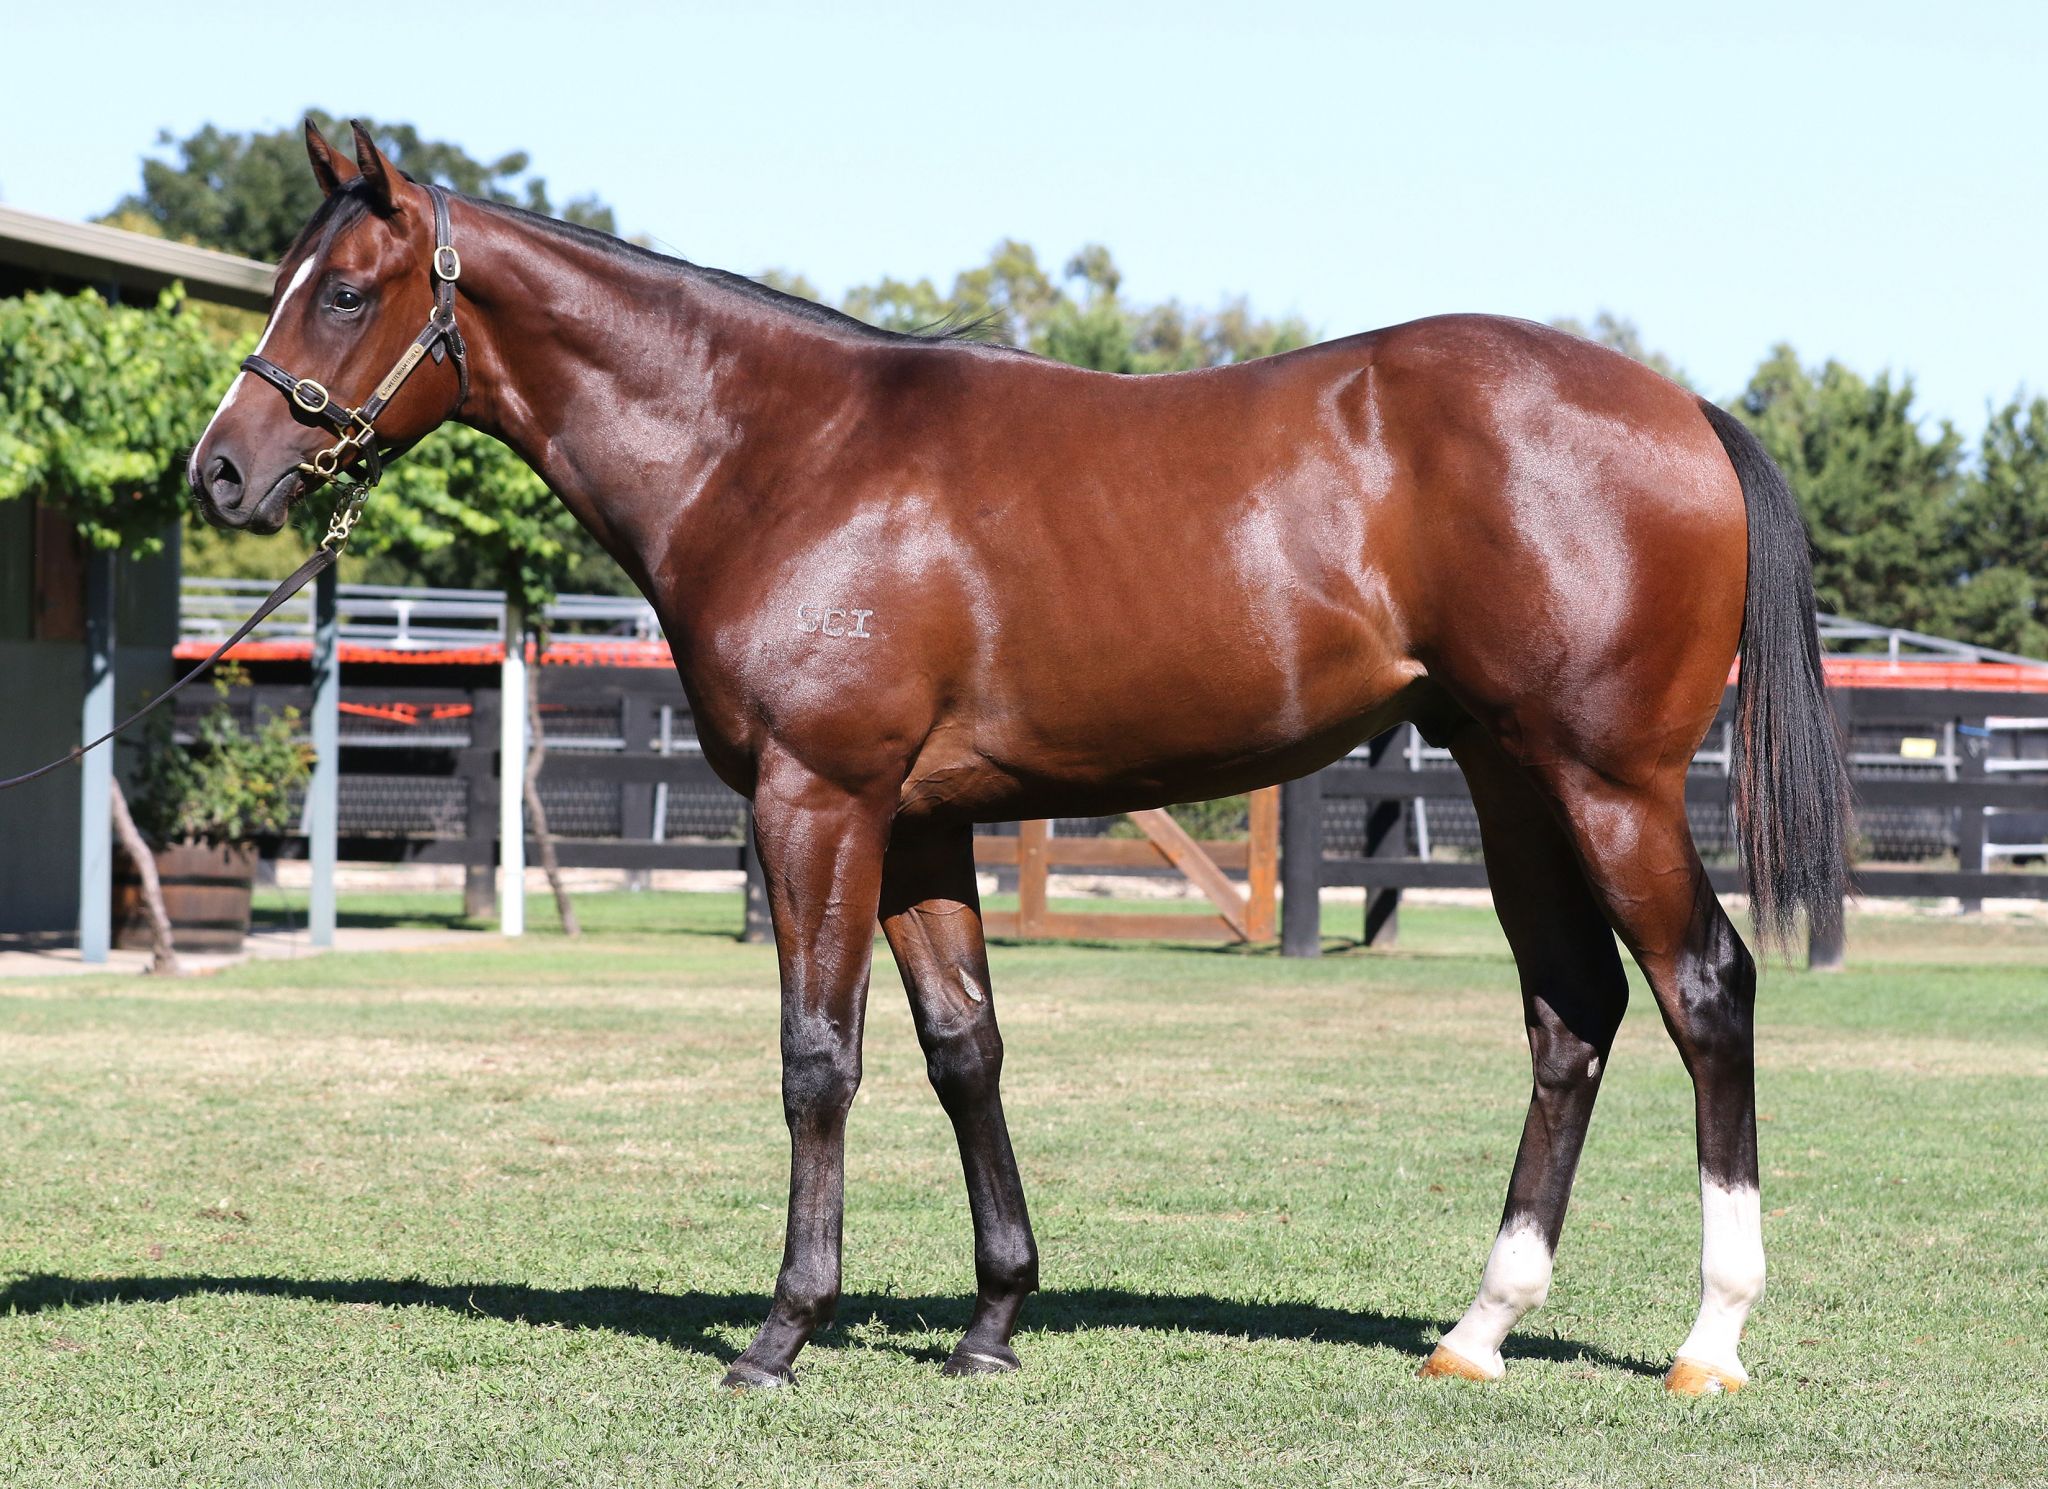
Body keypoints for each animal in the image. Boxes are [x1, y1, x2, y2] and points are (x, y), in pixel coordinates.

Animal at [187, 121, 1850, 1395]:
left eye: (344, 293)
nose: (219, 472)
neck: (778, 453)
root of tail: (1682, 407)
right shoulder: (920, 826)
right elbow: (962, 1049)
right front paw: (992, 1318)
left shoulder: (820, 803)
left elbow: (818, 1058)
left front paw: (783, 1333)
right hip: (1511, 781)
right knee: (1572, 1012)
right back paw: (1479, 1329)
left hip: (1607, 784)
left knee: (1705, 992)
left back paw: (1711, 1339)